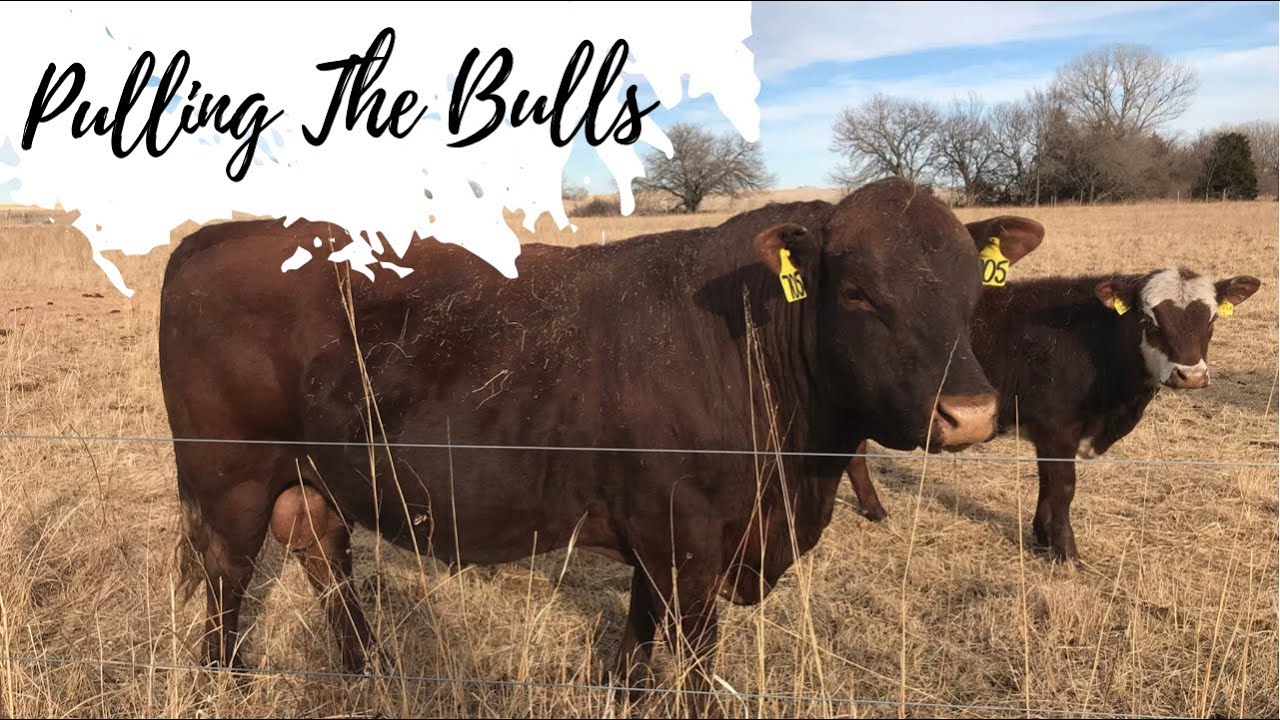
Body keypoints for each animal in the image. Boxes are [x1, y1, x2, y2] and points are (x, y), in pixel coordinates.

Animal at [160, 177, 1004, 713]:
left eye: (973, 290)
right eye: (858, 293)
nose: (970, 413)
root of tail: (217, 235)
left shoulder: (657, 536)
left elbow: (638, 634)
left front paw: (627, 694)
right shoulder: (688, 537)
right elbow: (695, 659)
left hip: (319, 477)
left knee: (323, 555)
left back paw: (374, 674)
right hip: (229, 479)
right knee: (228, 580)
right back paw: (227, 684)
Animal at [844, 264, 1262, 563]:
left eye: (1211, 321)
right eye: (1149, 320)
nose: (1190, 375)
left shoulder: (1049, 435)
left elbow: (1047, 486)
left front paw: (1043, 538)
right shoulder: (1057, 428)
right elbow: (1063, 488)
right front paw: (1067, 552)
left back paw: (874, 510)